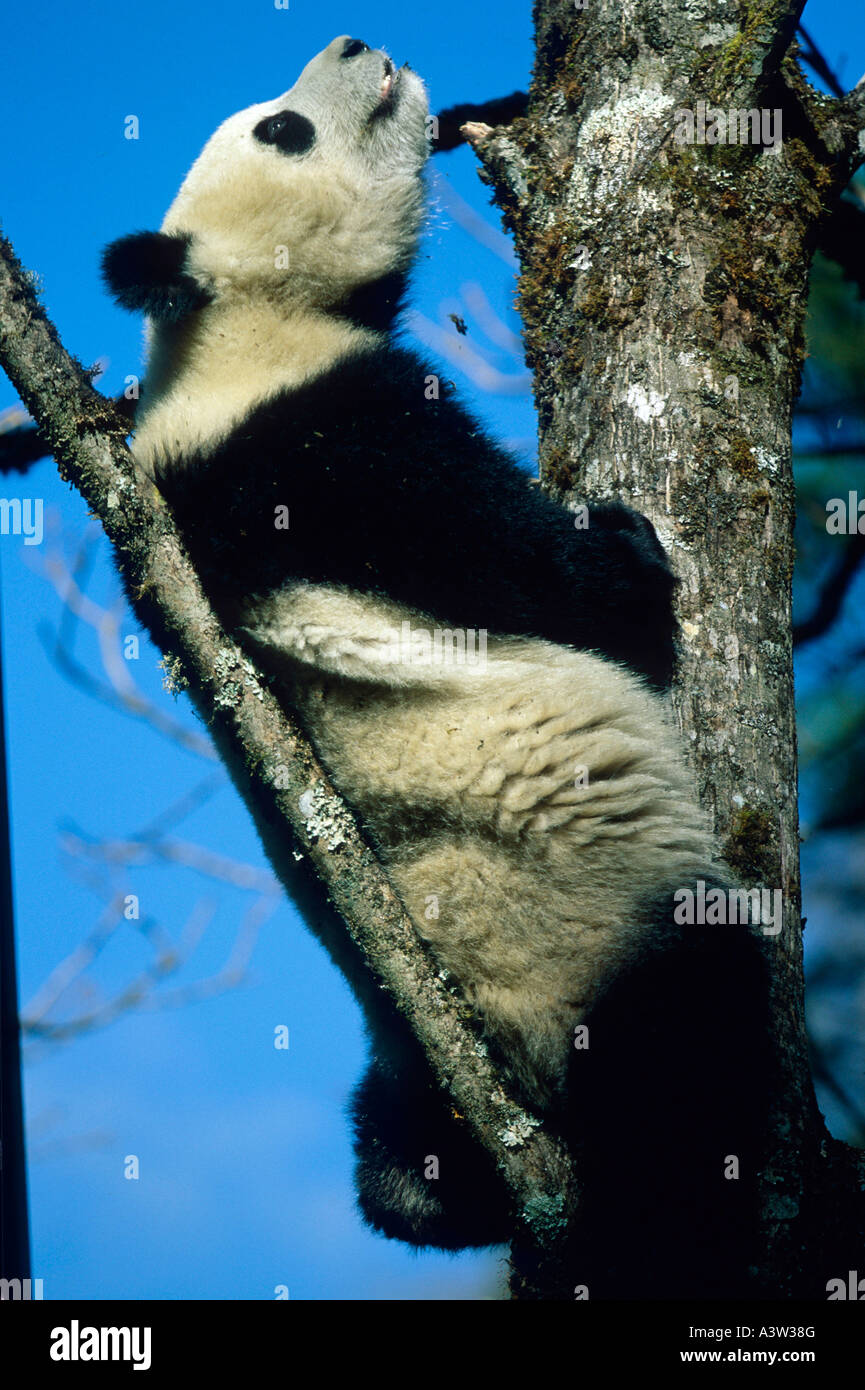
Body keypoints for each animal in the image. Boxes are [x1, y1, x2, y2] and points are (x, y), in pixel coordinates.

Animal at [101, 36, 770, 1296]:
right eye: (281, 130)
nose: (357, 43)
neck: (229, 332)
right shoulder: (328, 446)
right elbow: (558, 591)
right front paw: (627, 550)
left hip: (415, 1053)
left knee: (394, 1176)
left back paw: (437, 1185)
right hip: (585, 934)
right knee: (689, 1037)